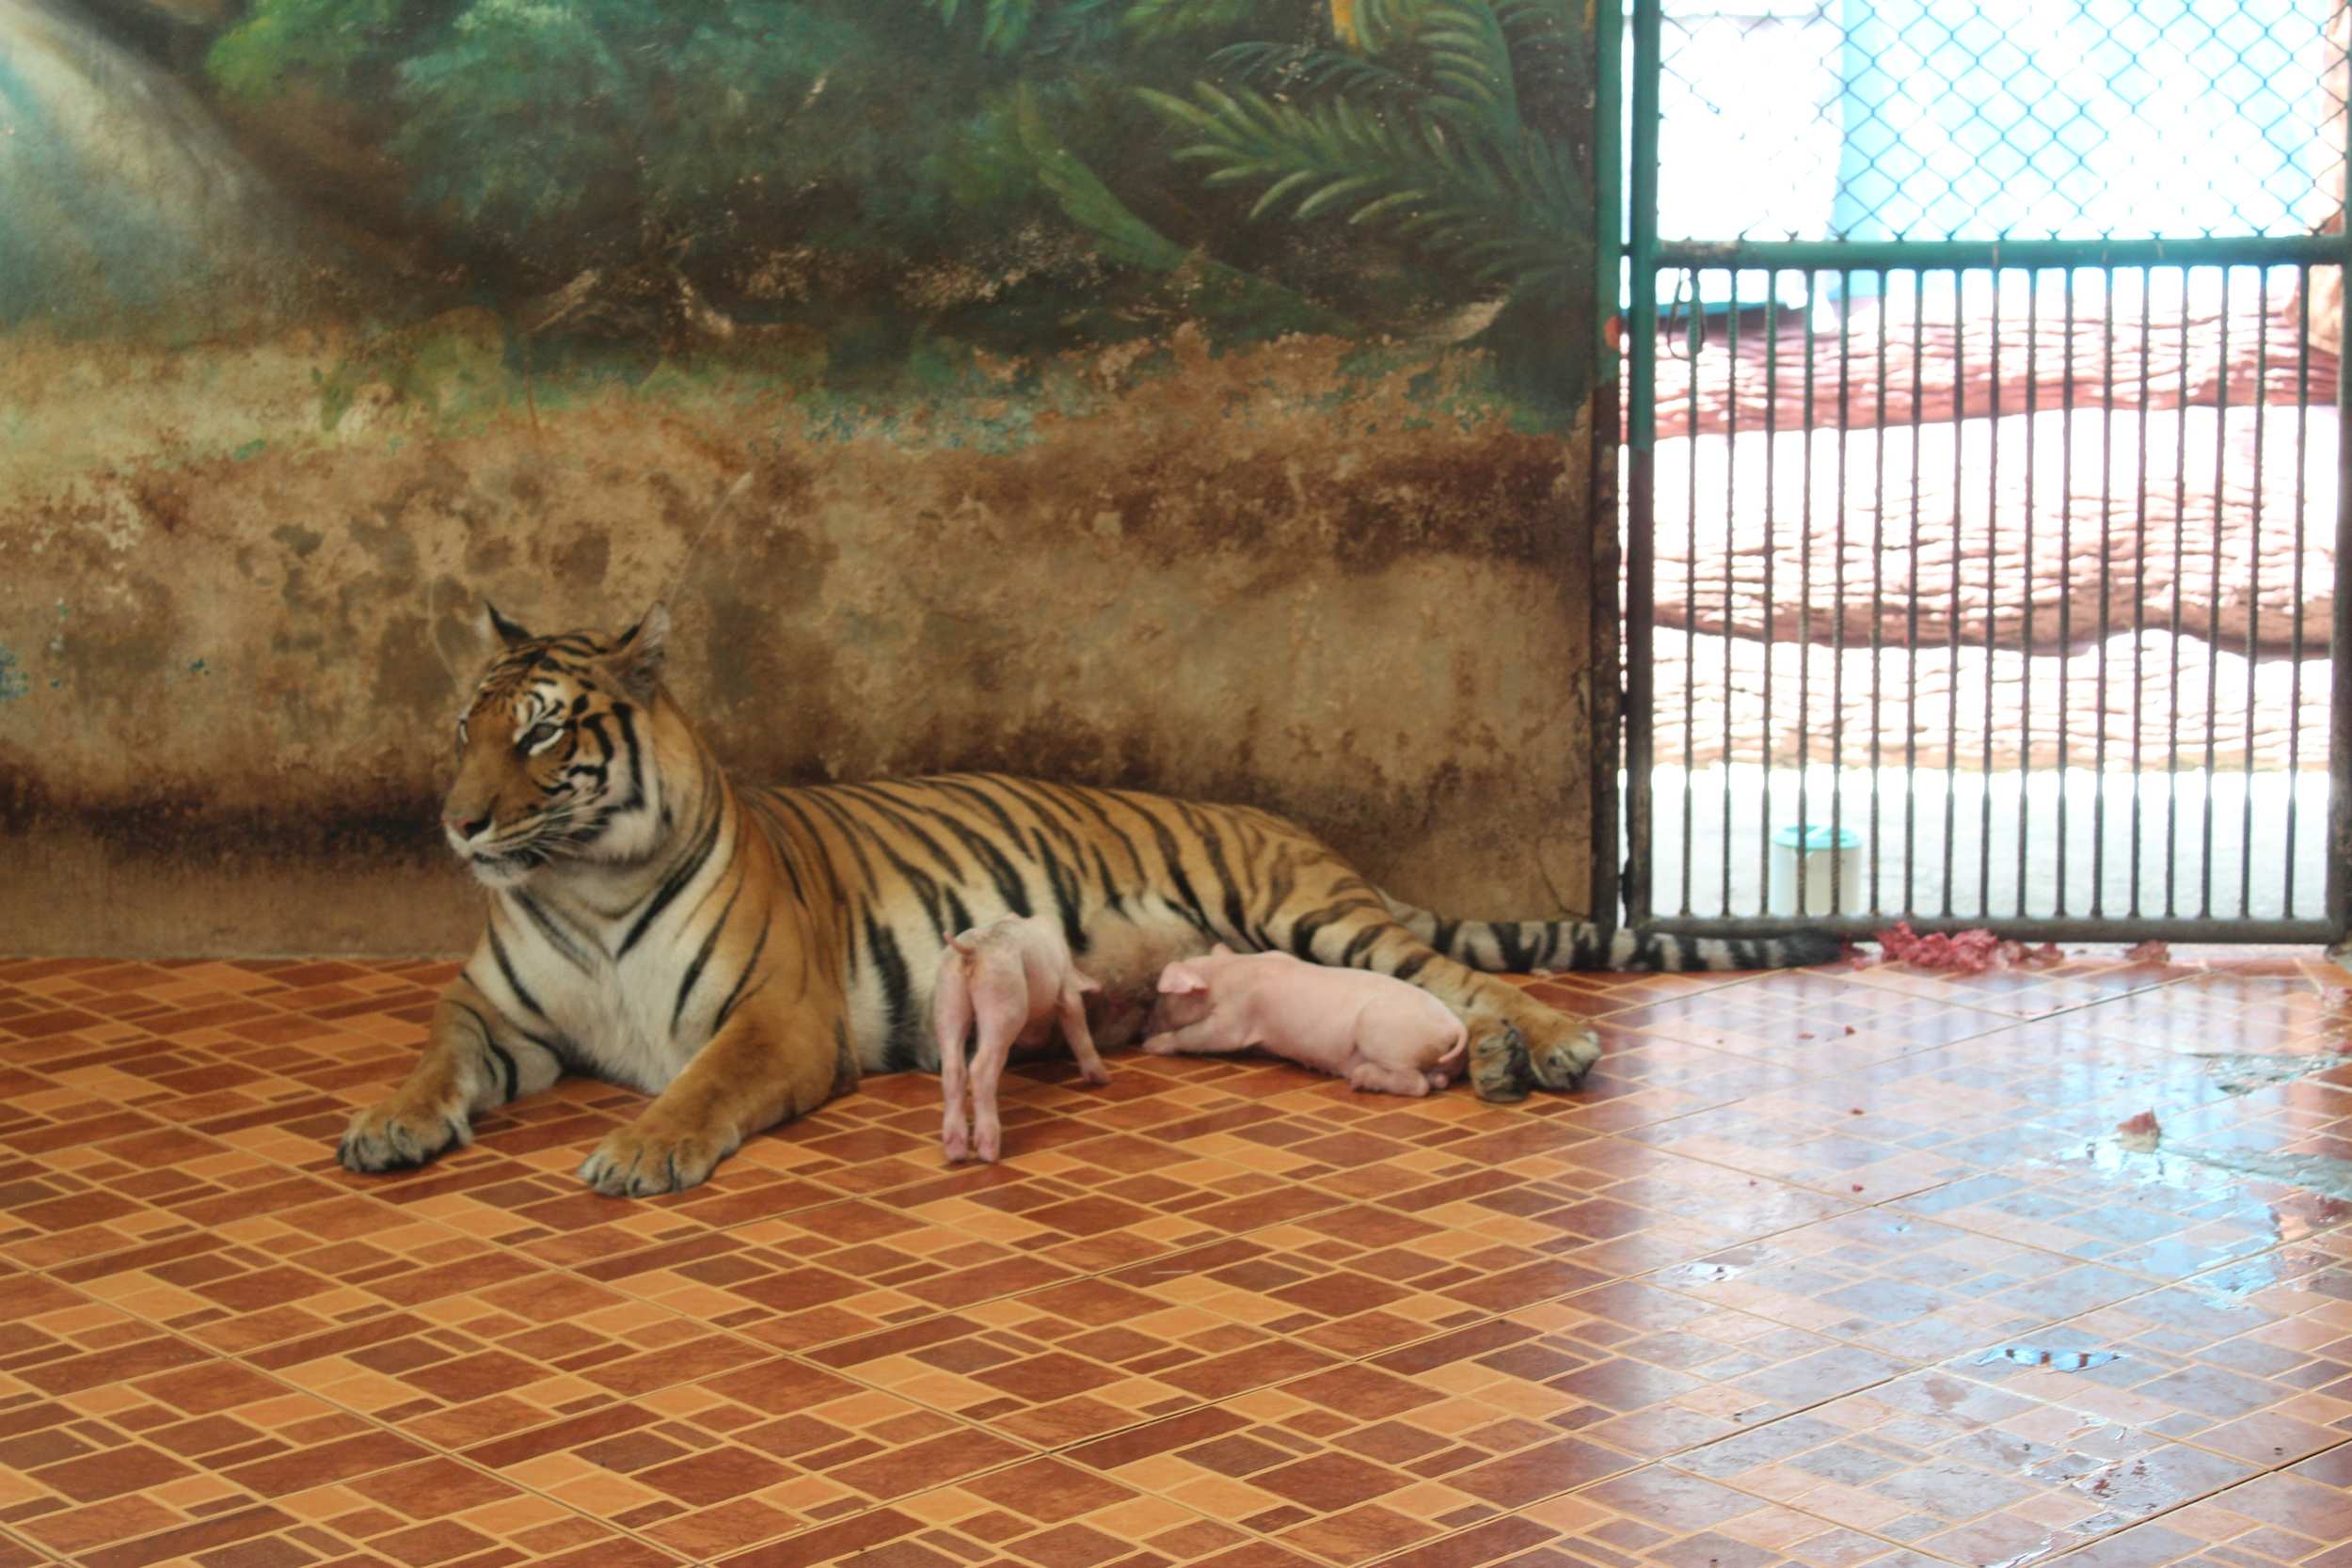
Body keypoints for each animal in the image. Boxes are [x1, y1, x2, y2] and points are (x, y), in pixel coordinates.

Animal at [337, 601, 1839, 1196]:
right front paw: (387, 1125)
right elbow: (427, 1054)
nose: (457, 821)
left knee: (1466, 977)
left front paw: (641, 1148)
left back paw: (1554, 1046)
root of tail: (1289, 821)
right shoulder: (493, 1011)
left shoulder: (777, 1018)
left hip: (1315, 914)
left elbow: (696, 1086)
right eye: (461, 728)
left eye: (540, 734)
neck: (583, 888)